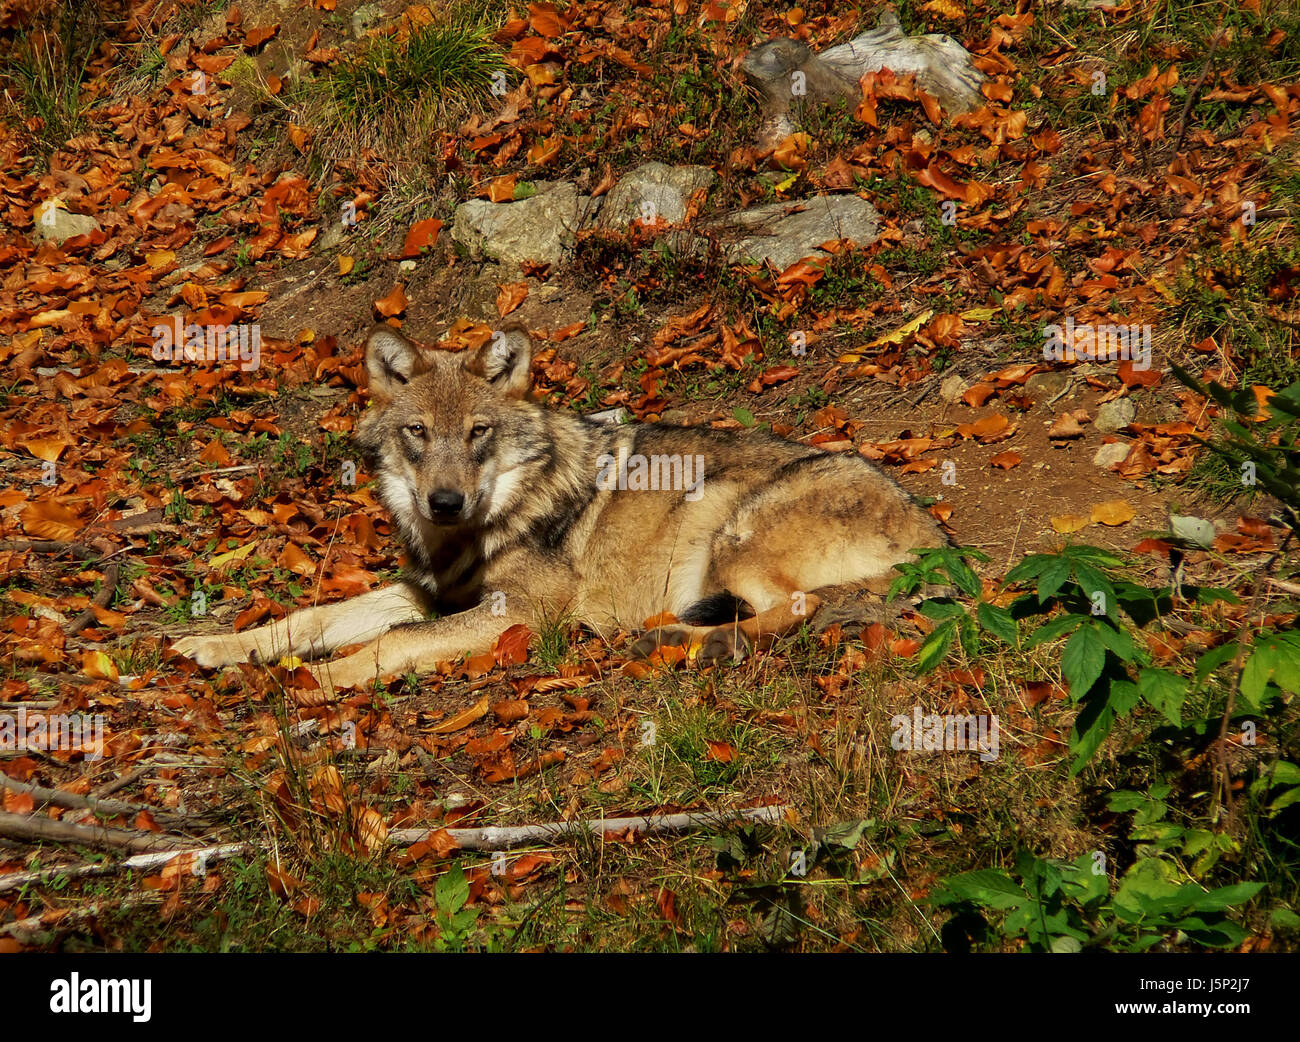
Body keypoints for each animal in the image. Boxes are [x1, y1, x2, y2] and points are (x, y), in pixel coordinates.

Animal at [174, 323, 946, 693]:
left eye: (478, 433)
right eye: (418, 432)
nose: (445, 501)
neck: (485, 523)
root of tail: (936, 533)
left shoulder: (517, 613)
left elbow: (391, 643)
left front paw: (316, 681)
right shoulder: (429, 591)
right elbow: (312, 618)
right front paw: (216, 646)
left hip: (731, 528)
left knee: (795, 612)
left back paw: (674, 641)